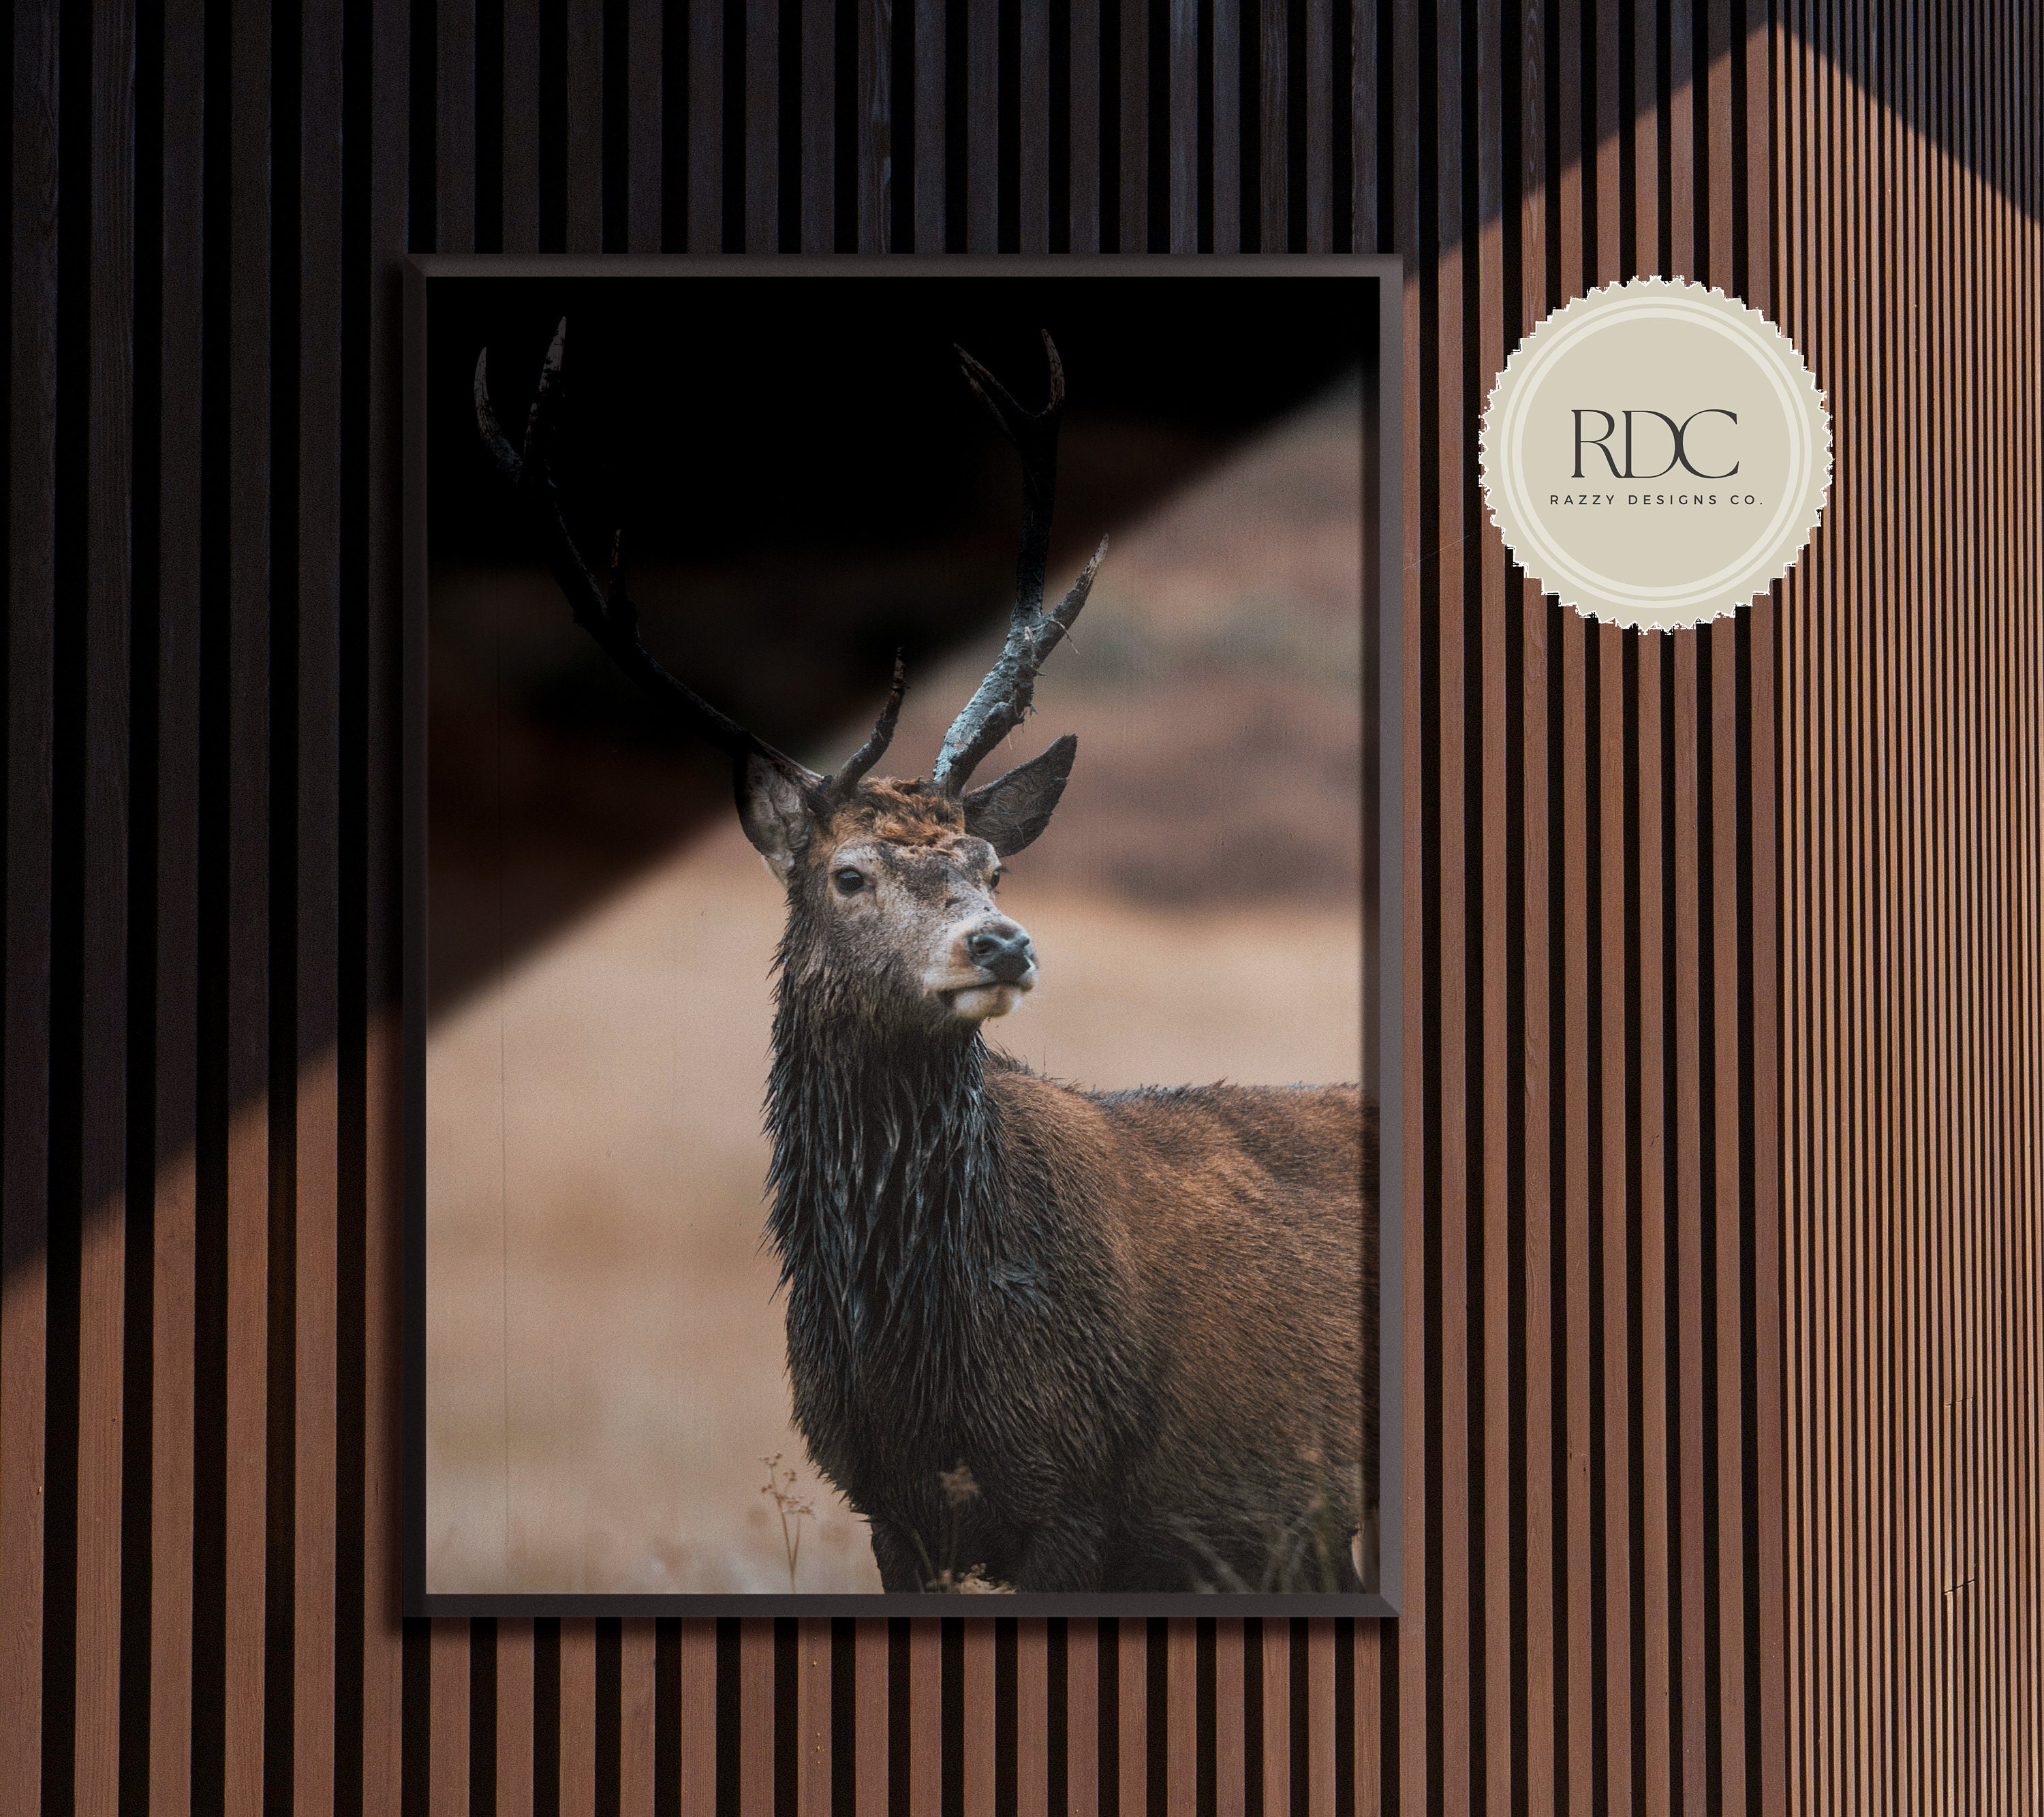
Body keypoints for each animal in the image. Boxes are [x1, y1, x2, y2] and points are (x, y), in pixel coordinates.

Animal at [473, 322, 1378, 1593]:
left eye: (990, 864)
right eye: (848, 875)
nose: (1001, 940)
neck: (918, 1356)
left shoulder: (1078, 1494)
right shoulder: (889, 1508)